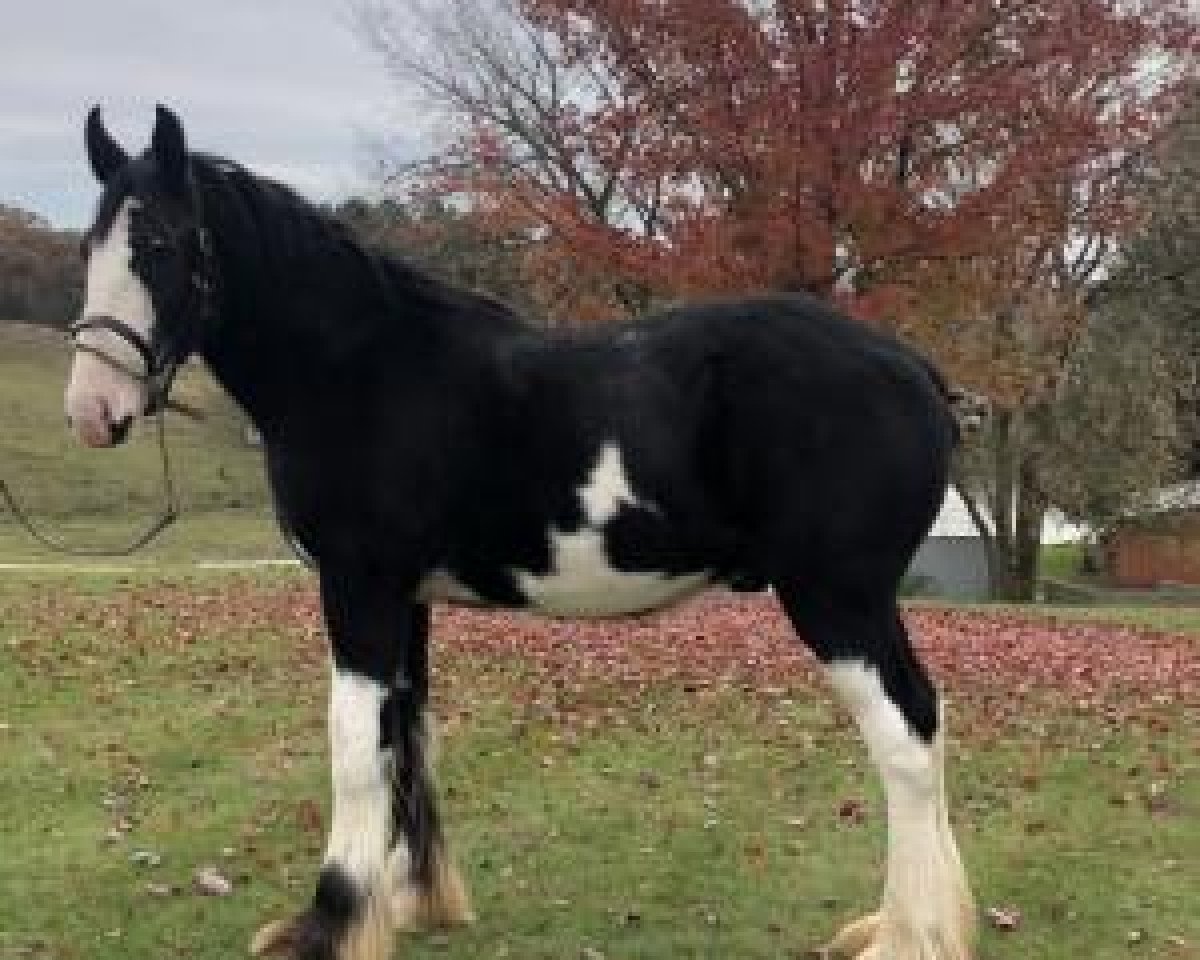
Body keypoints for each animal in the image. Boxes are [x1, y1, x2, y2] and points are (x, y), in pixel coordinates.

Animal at [65, 105, 975, 960]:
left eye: (159, 244)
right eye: (88, 247)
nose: (92, 411)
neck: (358, 366)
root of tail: (916, 371)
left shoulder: (358, 588)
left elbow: (354, 749)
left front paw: (329, 926)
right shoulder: (408, 599)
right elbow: (406, 737)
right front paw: (413, 905)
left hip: (838, 601)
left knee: (904, 740)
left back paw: (909, 937)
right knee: (926, 729)